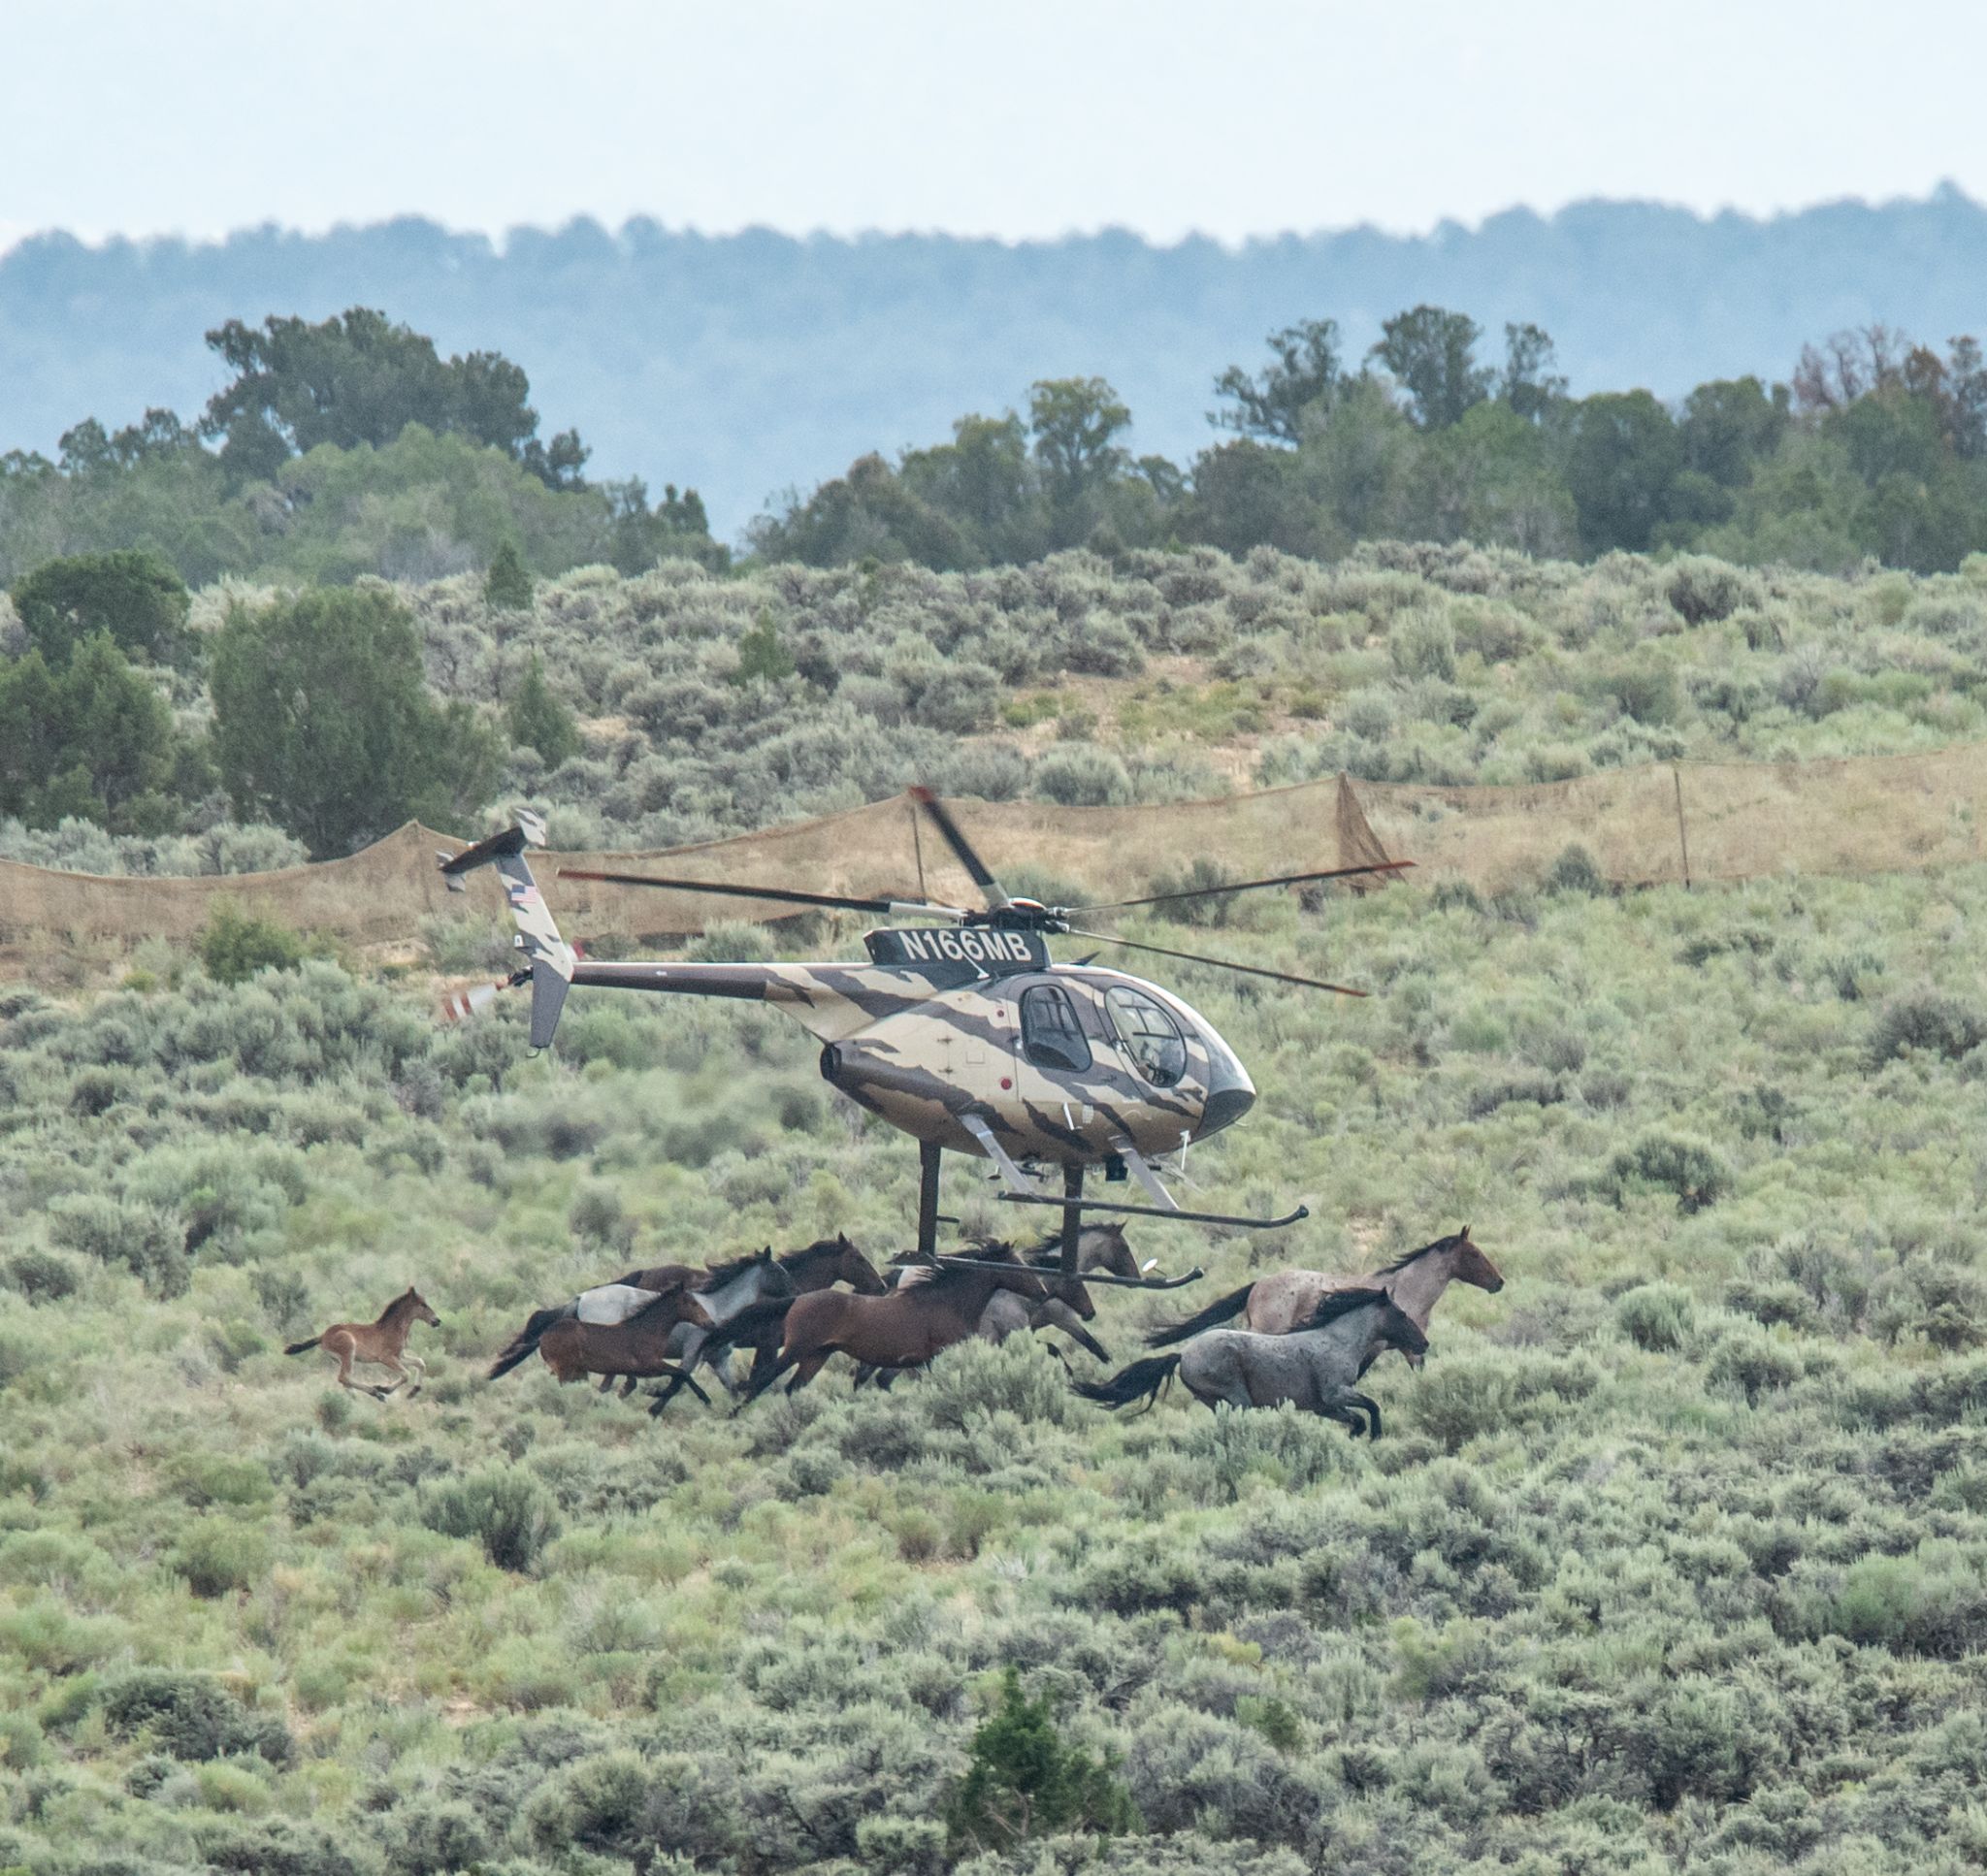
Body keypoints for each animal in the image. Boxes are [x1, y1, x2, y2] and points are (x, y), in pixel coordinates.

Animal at [285, 1287, 441, 1399]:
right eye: (422, 1305)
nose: (437, 1321)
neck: (393, 1328)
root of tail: (323, 1336)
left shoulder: (400, 1356)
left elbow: (420, 1363)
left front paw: (413, 1391)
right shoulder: (386, 1358)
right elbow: (406, 1374)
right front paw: (384, 1389)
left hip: (342, 1360)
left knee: (346, 1382)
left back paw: (358, 1399)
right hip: (349, 1350)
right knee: (343, 1377)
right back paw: (375, 1393)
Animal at [735, 1243, 1050, 1405]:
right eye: (1019, 1267)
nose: (1043, 1292)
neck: (947, 1302)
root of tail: (797, 1299)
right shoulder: (935, 1355)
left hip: (816, 1356)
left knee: (792, 1388)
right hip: (797, 1349)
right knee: (763, 1378)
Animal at [1077, 1290, 1427, 1436]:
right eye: (1401, 1313)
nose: (1424, 1343)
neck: (1338, 1340)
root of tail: (1184, 1354)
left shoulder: (1324, 1406)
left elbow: (1357, 1419)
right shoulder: (1335, 1393)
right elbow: (1372, 1406)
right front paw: (1377, 1436)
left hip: (1217, 1402)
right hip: (1237, 1398)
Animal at [1145, 1227, 1502, 1365]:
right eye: (1473, 1255)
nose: (1498, 1282)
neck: (1406, 1290)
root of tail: (1258, 1284)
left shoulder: (1409, 1349)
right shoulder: (1379, 1348)